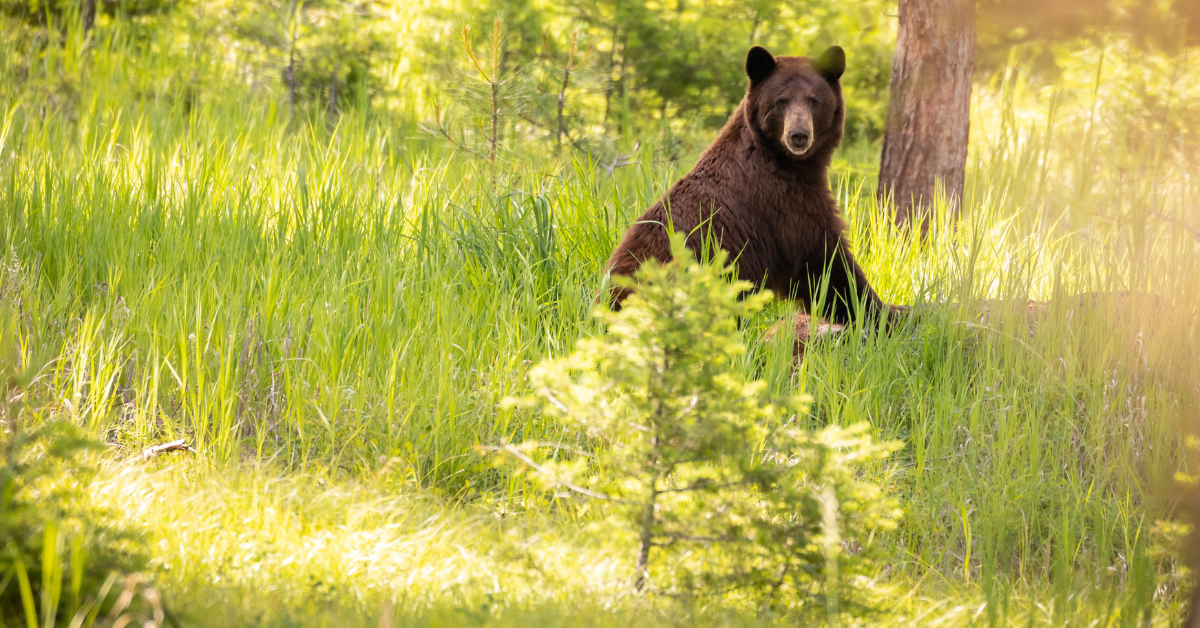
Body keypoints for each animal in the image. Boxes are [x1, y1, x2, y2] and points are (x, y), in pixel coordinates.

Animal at [603, 45, 902, 327]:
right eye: (781, 100)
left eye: (814, 100)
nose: (798, 135)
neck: (786, 162)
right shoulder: (782, 201)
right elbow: (824, 260)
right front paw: (883, 312)